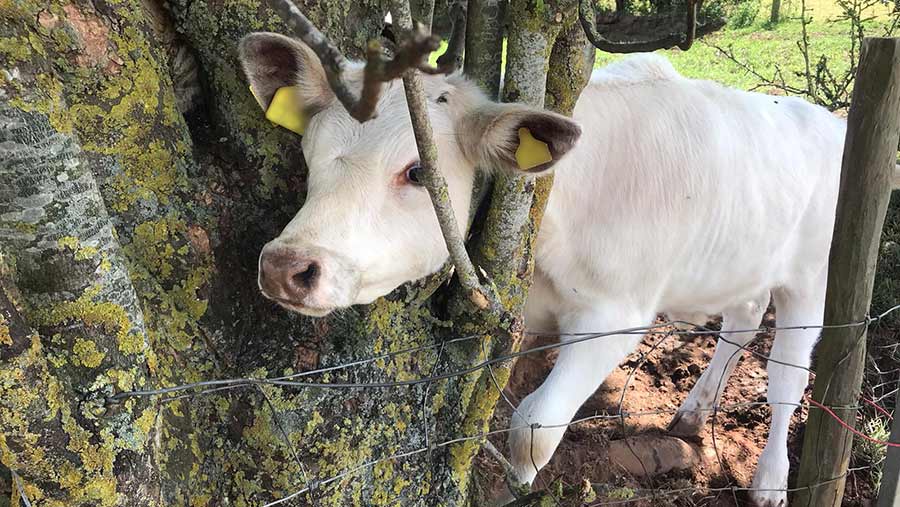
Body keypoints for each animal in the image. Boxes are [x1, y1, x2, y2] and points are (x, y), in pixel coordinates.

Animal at [238, 32, 900, 506]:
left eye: (418, 171)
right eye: (310, 153)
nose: (287, 266)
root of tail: (831, 122)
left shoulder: (616, 315)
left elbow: (533, 426)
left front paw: (518, 488)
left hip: (813, 277)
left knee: (787, 377)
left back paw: (770, 481)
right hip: (744, 257)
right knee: (739, 319)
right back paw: (694, 412)